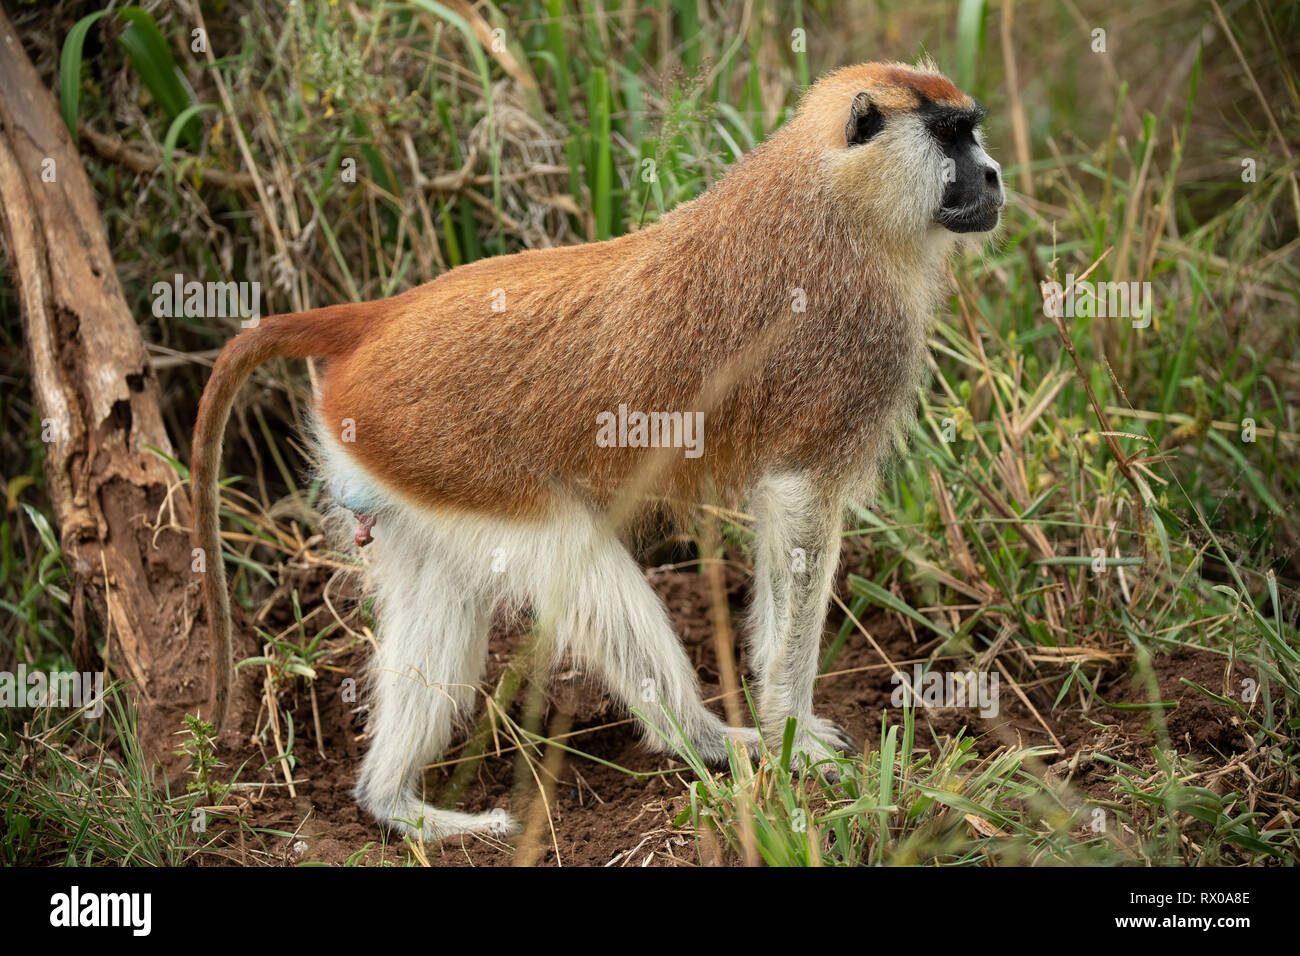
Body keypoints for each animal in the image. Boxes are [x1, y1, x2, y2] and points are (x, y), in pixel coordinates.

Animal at [191, 60, 1004, 842]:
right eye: (951, 135)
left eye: (972, 130)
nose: (993, 174)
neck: (836, 188)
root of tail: (382, 316)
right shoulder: (856, 342)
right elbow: (798, 503)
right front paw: (791, 738)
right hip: (442, 449)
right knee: (577, 559)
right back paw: (702, 740)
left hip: (401, 460)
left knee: (447, 595)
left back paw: (395, 805)